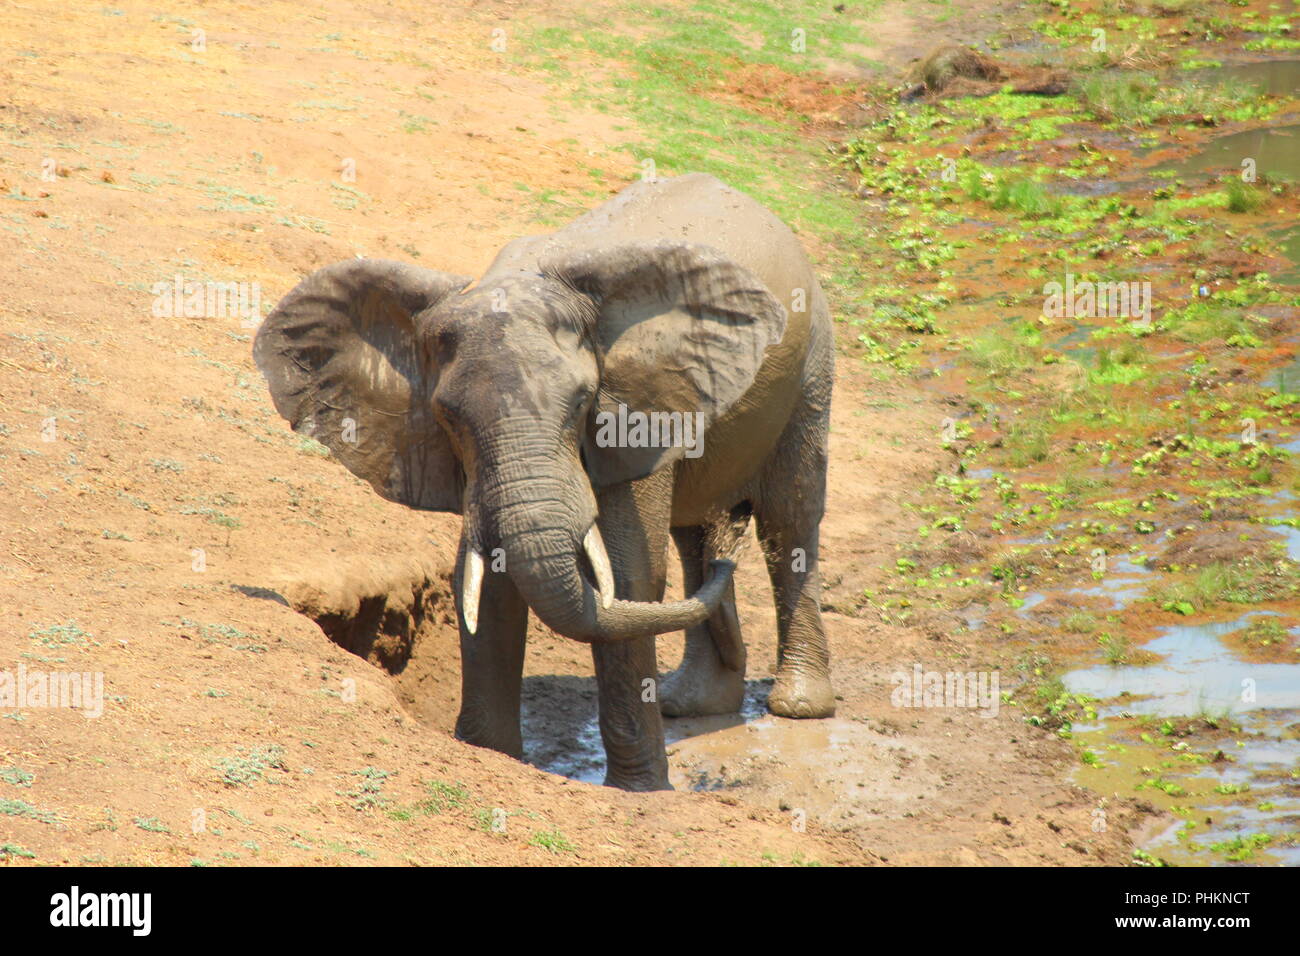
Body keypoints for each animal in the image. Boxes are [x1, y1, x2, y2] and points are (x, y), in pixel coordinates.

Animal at [254, 173, 834, 791]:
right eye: (449, 417)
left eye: (582, 402)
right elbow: (486, 578)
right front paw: (490, 753)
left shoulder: (633, 413)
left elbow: (631, 573)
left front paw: (640, 790)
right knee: (697, 535)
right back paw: (694, 700)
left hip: (812, 363)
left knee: (789, 520)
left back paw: (799, 706)